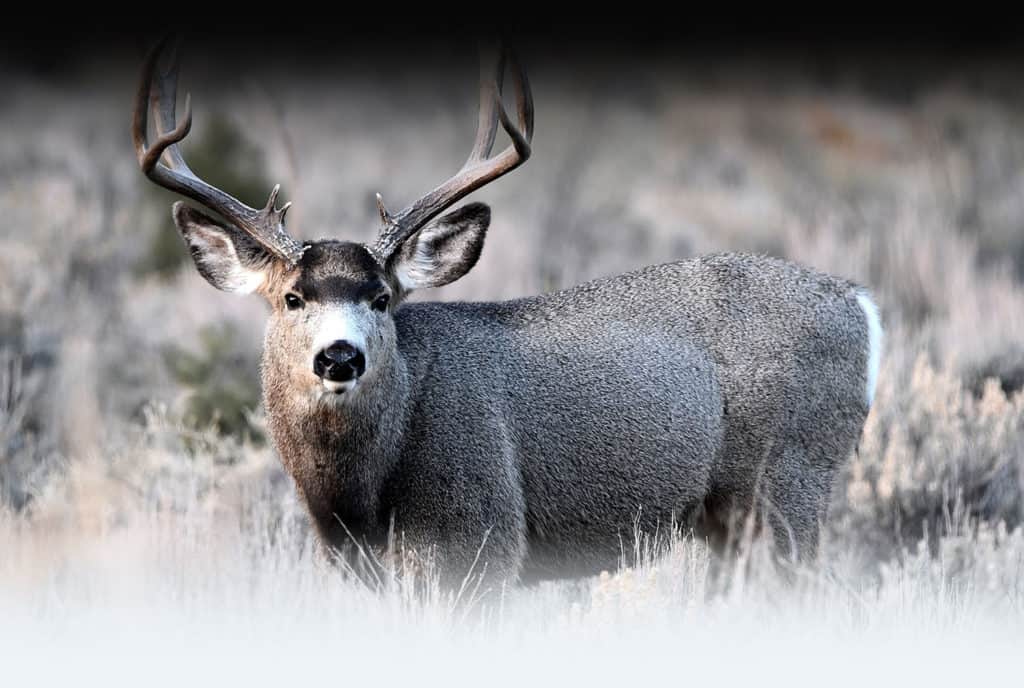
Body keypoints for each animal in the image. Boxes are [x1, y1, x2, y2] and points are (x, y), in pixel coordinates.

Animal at [132, 38, 882, 591]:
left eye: (382, 298)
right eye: (292, 298)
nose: (340, 356)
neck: (361, 497)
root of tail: (862, 304)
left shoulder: (481, 534)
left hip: (790, 479)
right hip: (733, 519)